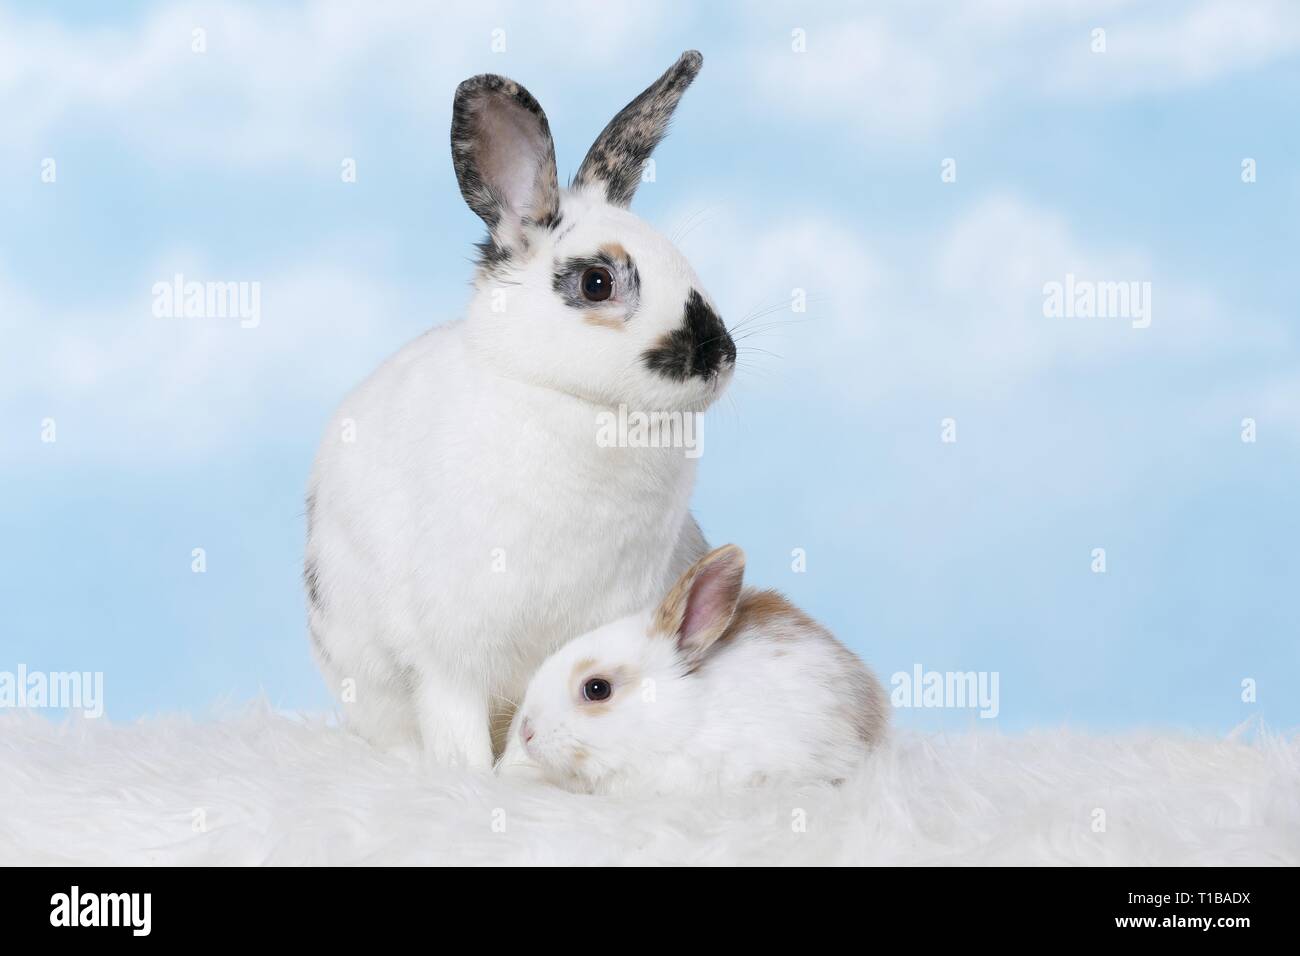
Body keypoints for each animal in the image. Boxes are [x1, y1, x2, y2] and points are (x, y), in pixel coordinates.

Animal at [304, 51, 735, 769]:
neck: (573, 402)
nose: (720, 356)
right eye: (597, 283)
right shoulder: (449, 660)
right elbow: (459, 734)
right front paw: (471, 781)